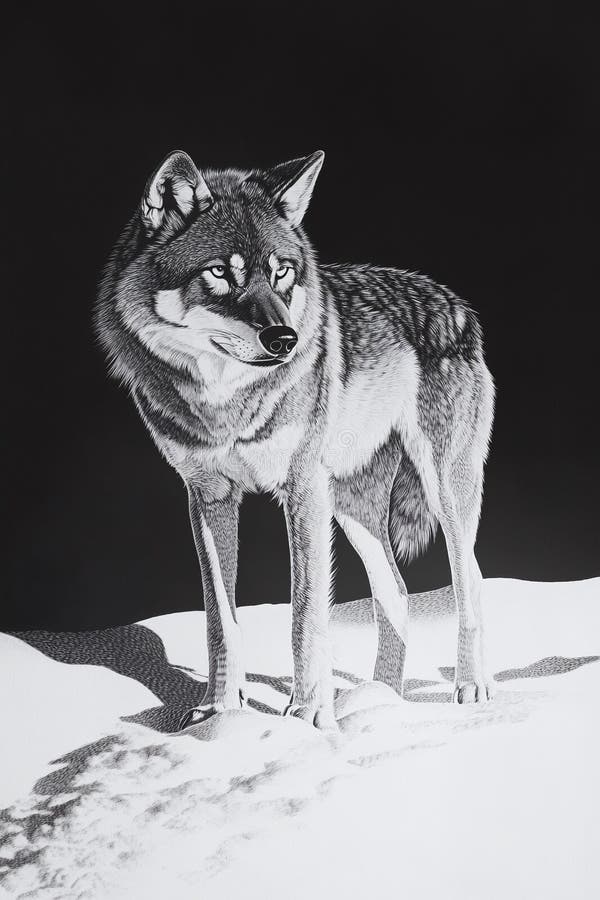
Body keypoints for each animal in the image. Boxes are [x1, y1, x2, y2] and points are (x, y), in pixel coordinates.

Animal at [95, 149, 495, 732]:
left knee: (470, 581)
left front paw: (307, 716)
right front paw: (219, 713)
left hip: (443, 493)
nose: (284, 338)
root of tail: (454, 303)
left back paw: (472, 689)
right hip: (352, 507)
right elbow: (221, 618)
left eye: (280, 270)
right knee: (396, 593)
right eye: (220, 272)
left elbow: (306, 612)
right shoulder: (208, 497)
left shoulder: (302, 490)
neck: (226, 403)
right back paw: (382, 702)